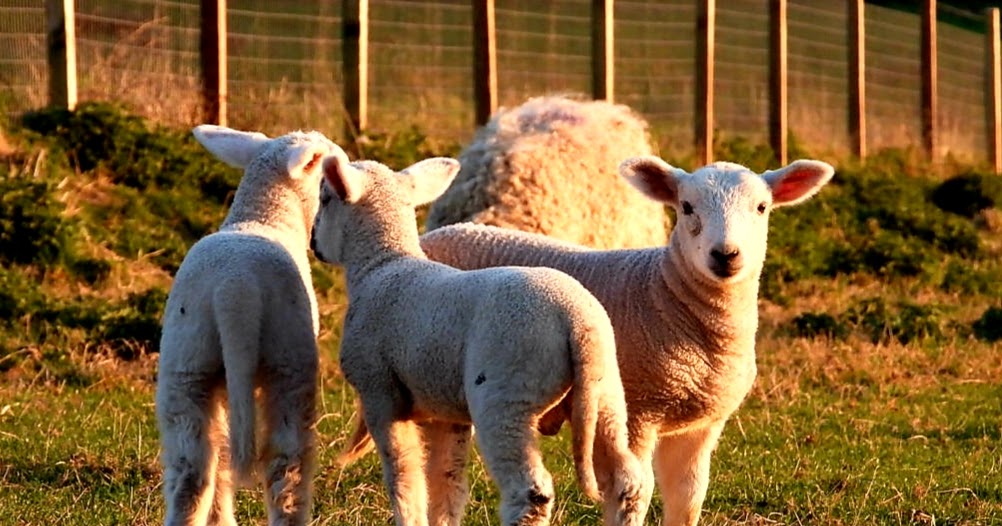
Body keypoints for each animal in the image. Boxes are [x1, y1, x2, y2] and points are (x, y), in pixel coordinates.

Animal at [156, 125, 341, 526]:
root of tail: (234, 286)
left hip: (187, 364)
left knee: (194, 471)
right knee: (286, 466)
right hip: (288, 365)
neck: (263, 214)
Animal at [310, 151, 645, 526]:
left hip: (506, 394)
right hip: (606, 395)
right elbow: (448, 484)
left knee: (531, 491)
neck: (383, 266)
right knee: (627, 482)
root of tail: (577, 323)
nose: (313, 243)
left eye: (325, 198)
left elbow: (404, 475)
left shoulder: (380, 392)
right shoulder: (445, 411)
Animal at [420, 157, 835, 526]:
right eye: (686, 207)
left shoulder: (702, 425)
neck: (666, 294)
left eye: (762, 207)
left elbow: (688, 497)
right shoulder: (638, 412)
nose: (726, 255)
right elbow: (639, 488)